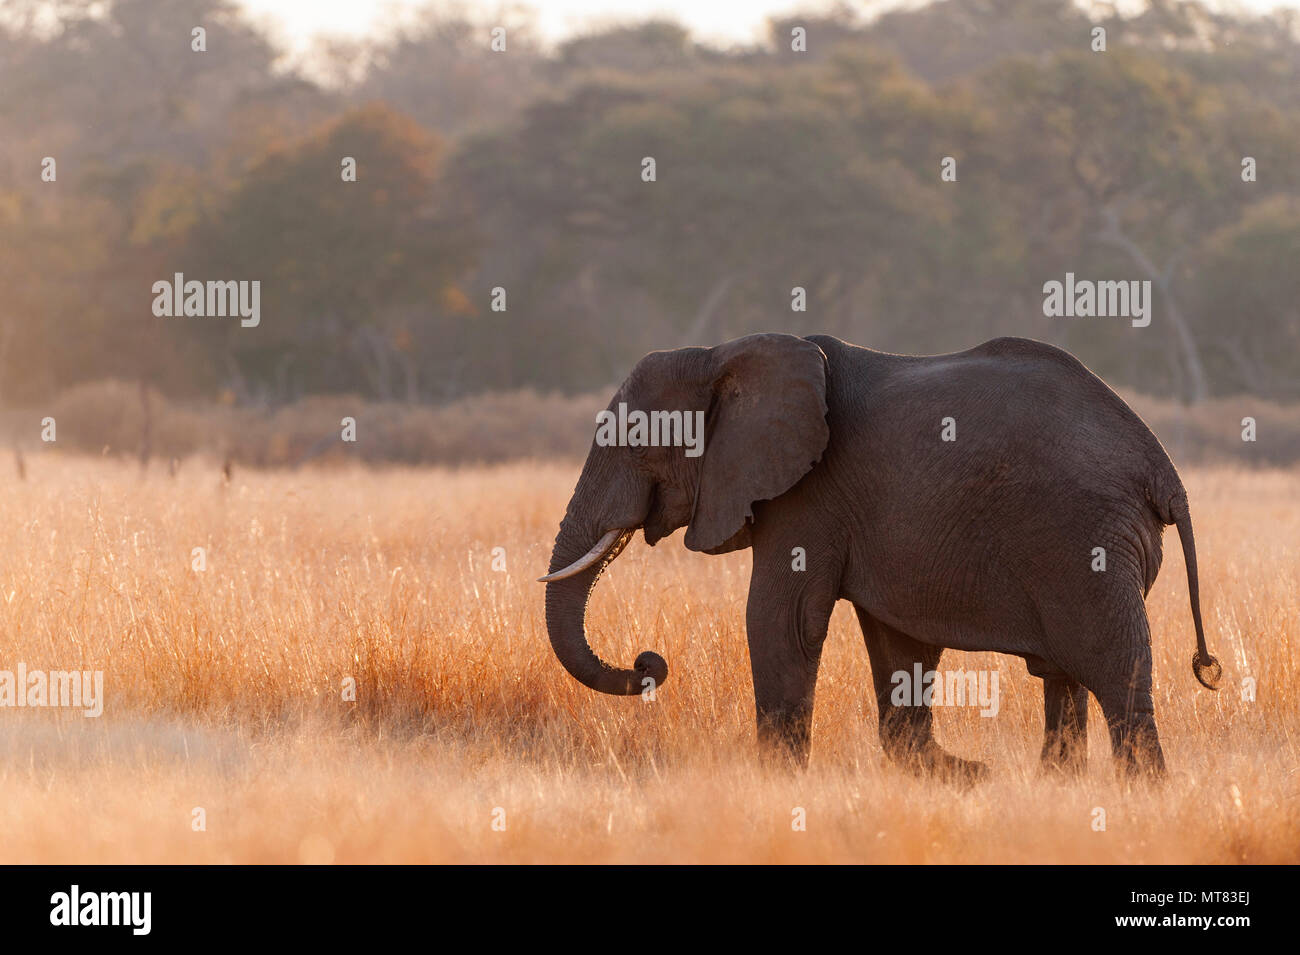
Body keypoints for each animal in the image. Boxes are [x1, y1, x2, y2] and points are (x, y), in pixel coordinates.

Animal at [539, 333, 1221, 778]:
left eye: (638, 443)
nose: (648, 661)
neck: (718, 355)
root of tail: (1164, 471)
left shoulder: (809, 492)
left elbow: (782, 620)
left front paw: (777, 786)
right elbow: (897, 643)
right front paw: (963, 774)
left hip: (1085, 543)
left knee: (1114, 668)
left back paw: (1143, 795)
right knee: (1064, 676)